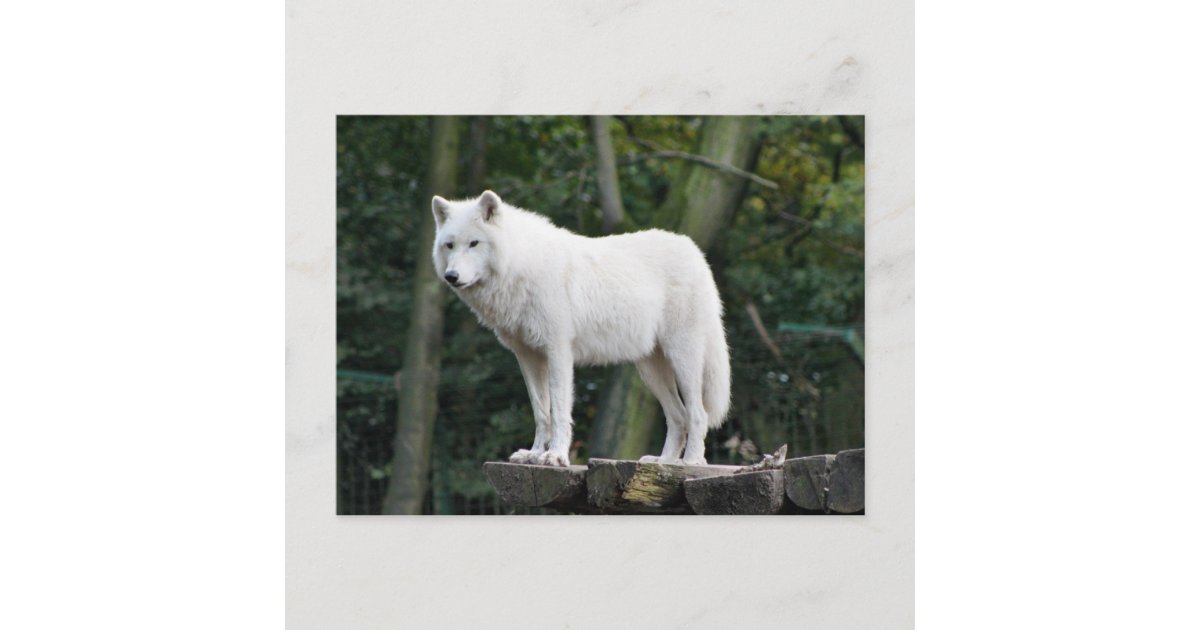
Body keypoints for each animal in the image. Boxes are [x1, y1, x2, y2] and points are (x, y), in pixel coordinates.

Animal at [431, 190, 730, 467]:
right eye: (449, 245)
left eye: (474, 243)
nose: (451, 276)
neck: (521, 265)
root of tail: (695, 252)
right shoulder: (527, 356)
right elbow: (541, 411)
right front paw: (534, 454)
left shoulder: (558, 352)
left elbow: (559, 410)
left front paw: (556, 456)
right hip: (650, 370)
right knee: (678, 417)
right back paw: (663, 462)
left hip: (683, 360)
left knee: (698, 414)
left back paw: (691, 462)